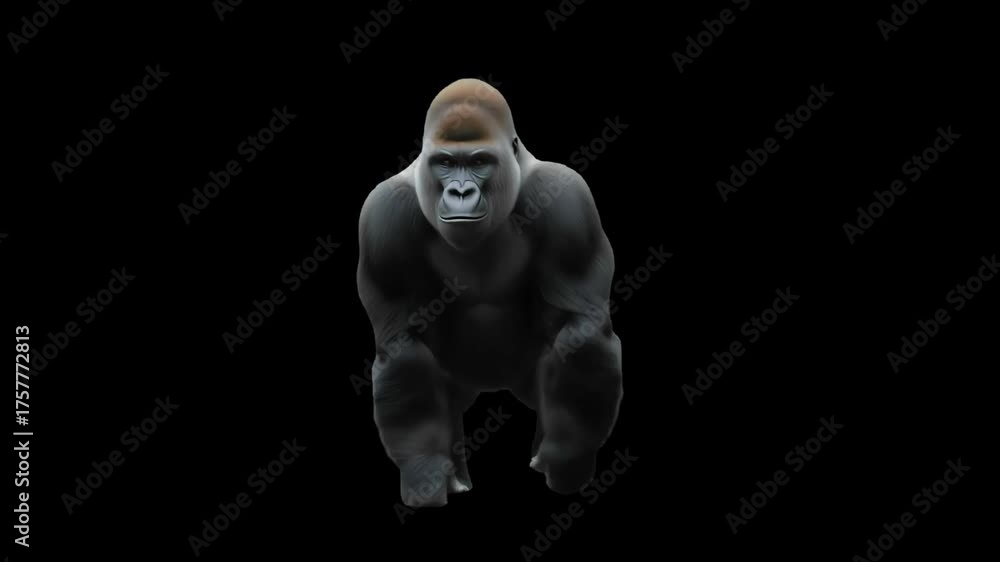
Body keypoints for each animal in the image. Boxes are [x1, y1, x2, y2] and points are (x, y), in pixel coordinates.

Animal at [357, 78, 622, 507]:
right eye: (445, 163)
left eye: (479, 161)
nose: (461, 191)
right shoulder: (384, 214)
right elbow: (402, 344)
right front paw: (426, 473)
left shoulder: (568, 201)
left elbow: (584, 327)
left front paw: (566, 456)